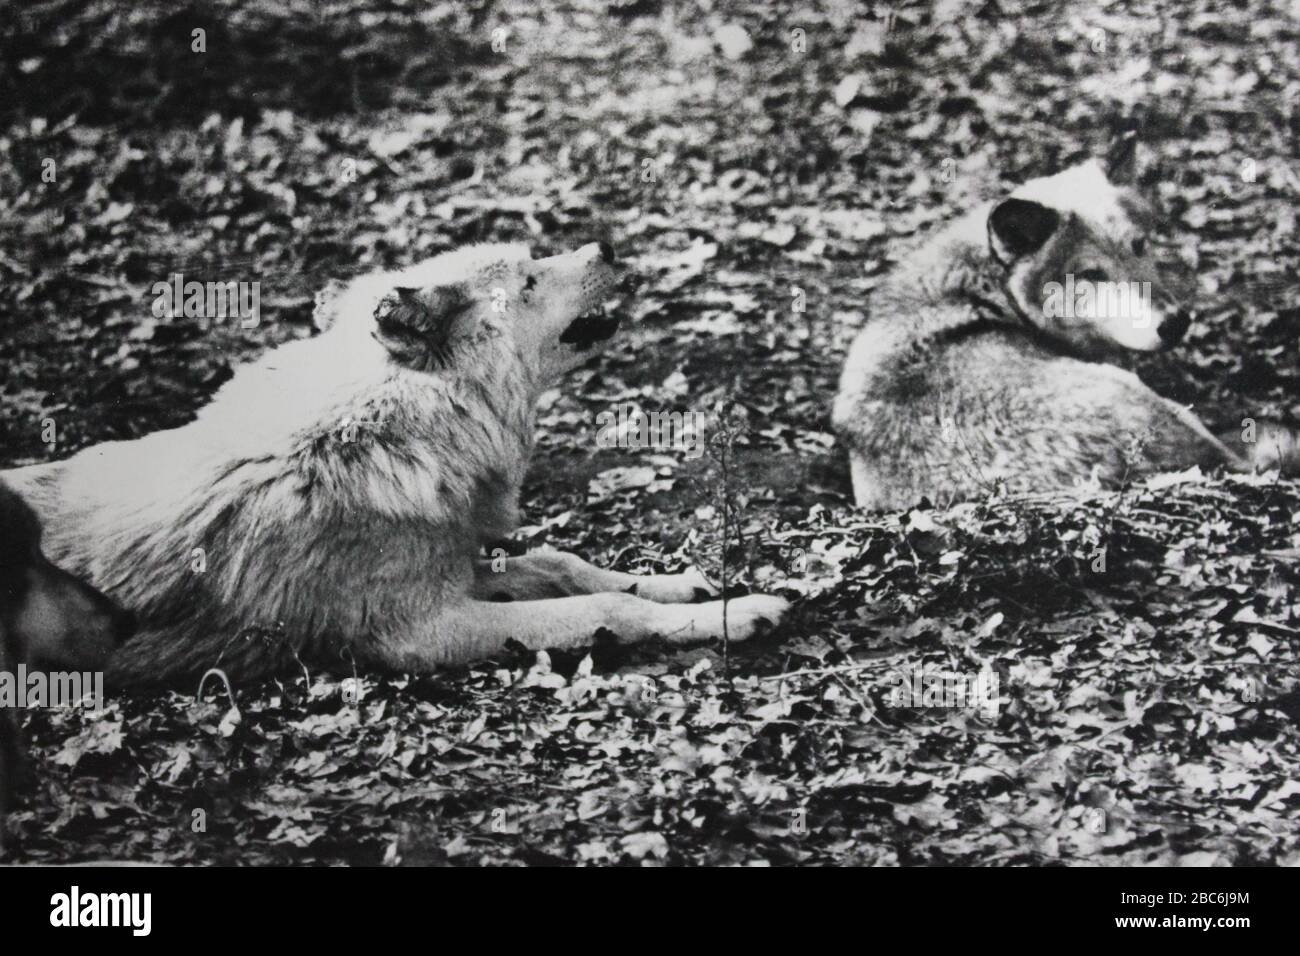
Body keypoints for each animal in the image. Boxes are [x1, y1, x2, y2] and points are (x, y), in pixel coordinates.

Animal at [3, 243, 788, 688]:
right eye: (530, 280)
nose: (607, 243)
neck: (383, 431)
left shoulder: (454, 566)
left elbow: (565, 563)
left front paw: (682, 585)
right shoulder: (419, 632)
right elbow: (605, 609)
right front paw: (736, 614)